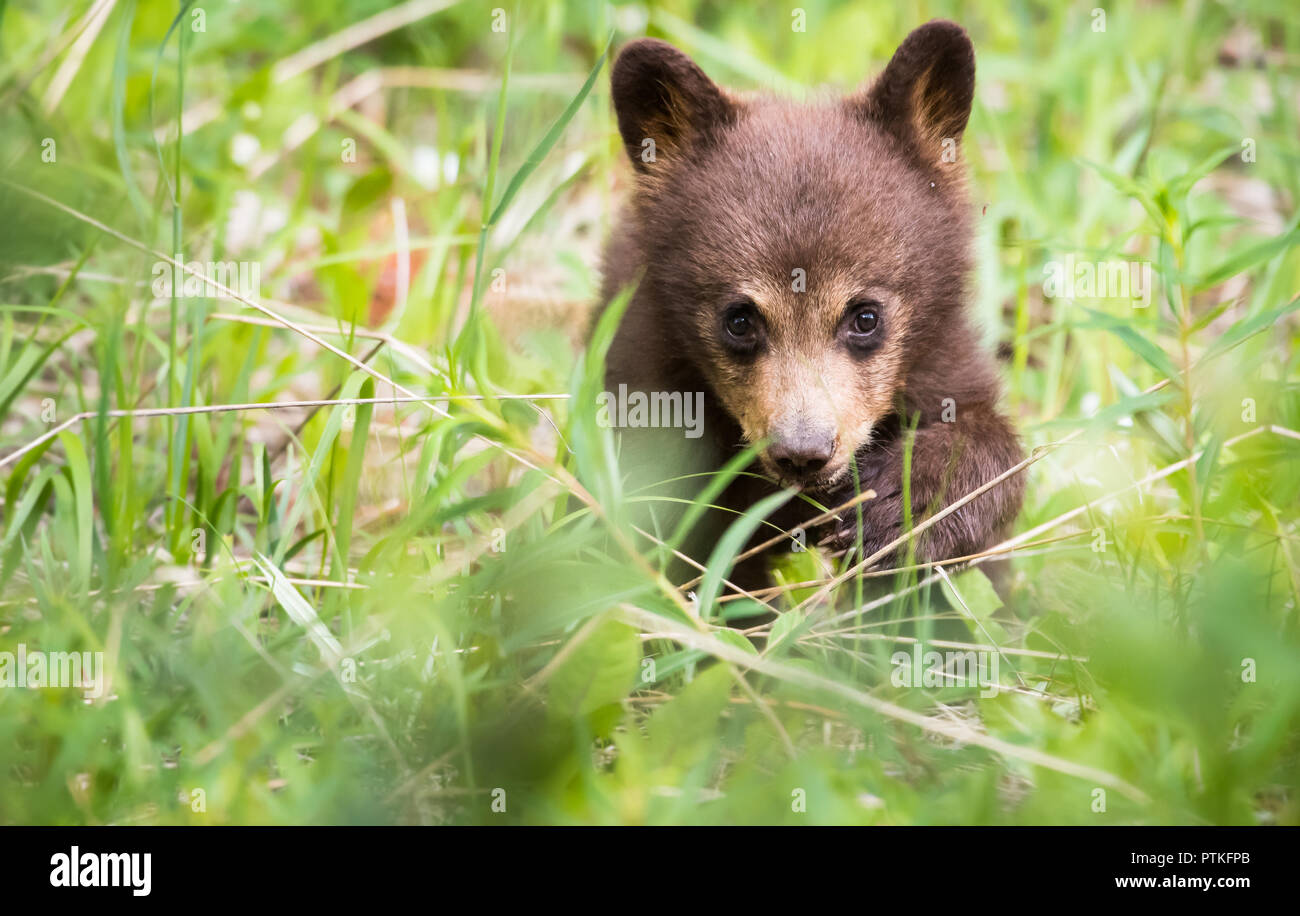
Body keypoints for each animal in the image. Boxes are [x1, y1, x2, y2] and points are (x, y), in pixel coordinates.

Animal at [594, 20, 1025, 585]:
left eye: (865, 317)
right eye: (739, 320)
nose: (803, 454)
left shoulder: (942, 359)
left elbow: (998, 460)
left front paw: (900, 505)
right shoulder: (643, 372)